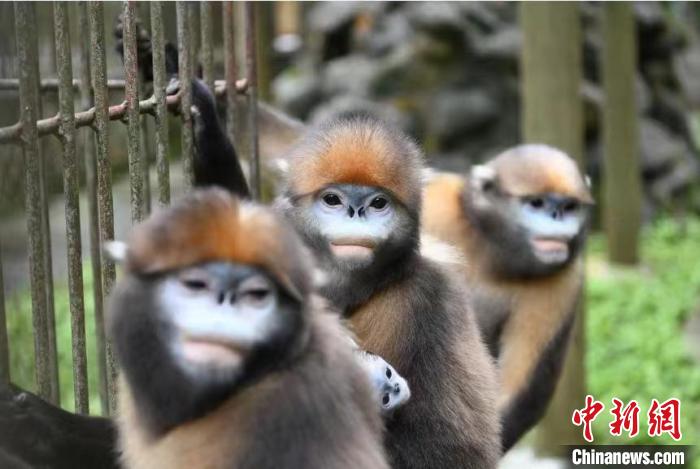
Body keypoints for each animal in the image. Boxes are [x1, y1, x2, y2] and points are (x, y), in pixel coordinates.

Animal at [421, 144, 593, 451]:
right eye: (536, 203)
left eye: (569, 207)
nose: (556, 216)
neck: (492, 253)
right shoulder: (437, 202)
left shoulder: (563, 283)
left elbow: (515, 395)